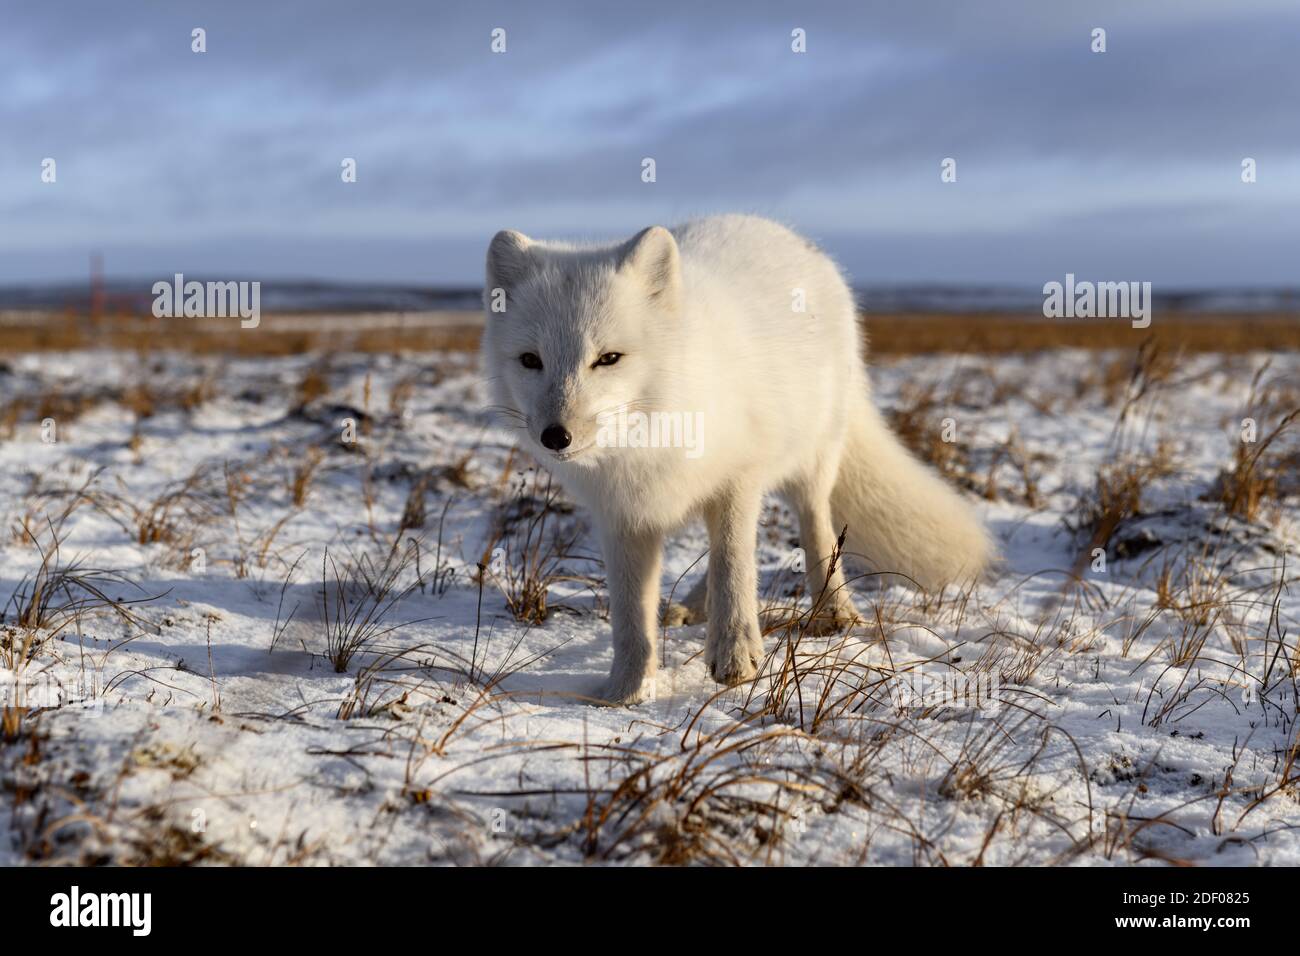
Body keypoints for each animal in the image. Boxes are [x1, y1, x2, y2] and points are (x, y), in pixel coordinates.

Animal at [481, 214, 991, 705]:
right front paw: (624, 689)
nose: (556, 436)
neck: (649, 441)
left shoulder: (738, 481)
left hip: (811, 458)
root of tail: (785, 232)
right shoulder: (623, 516)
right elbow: (629, 615)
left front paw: (735, 656)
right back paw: (691, 606)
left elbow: (734, 565)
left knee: (815, 526)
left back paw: (833, 609)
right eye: (530, 360)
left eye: (608, 358)